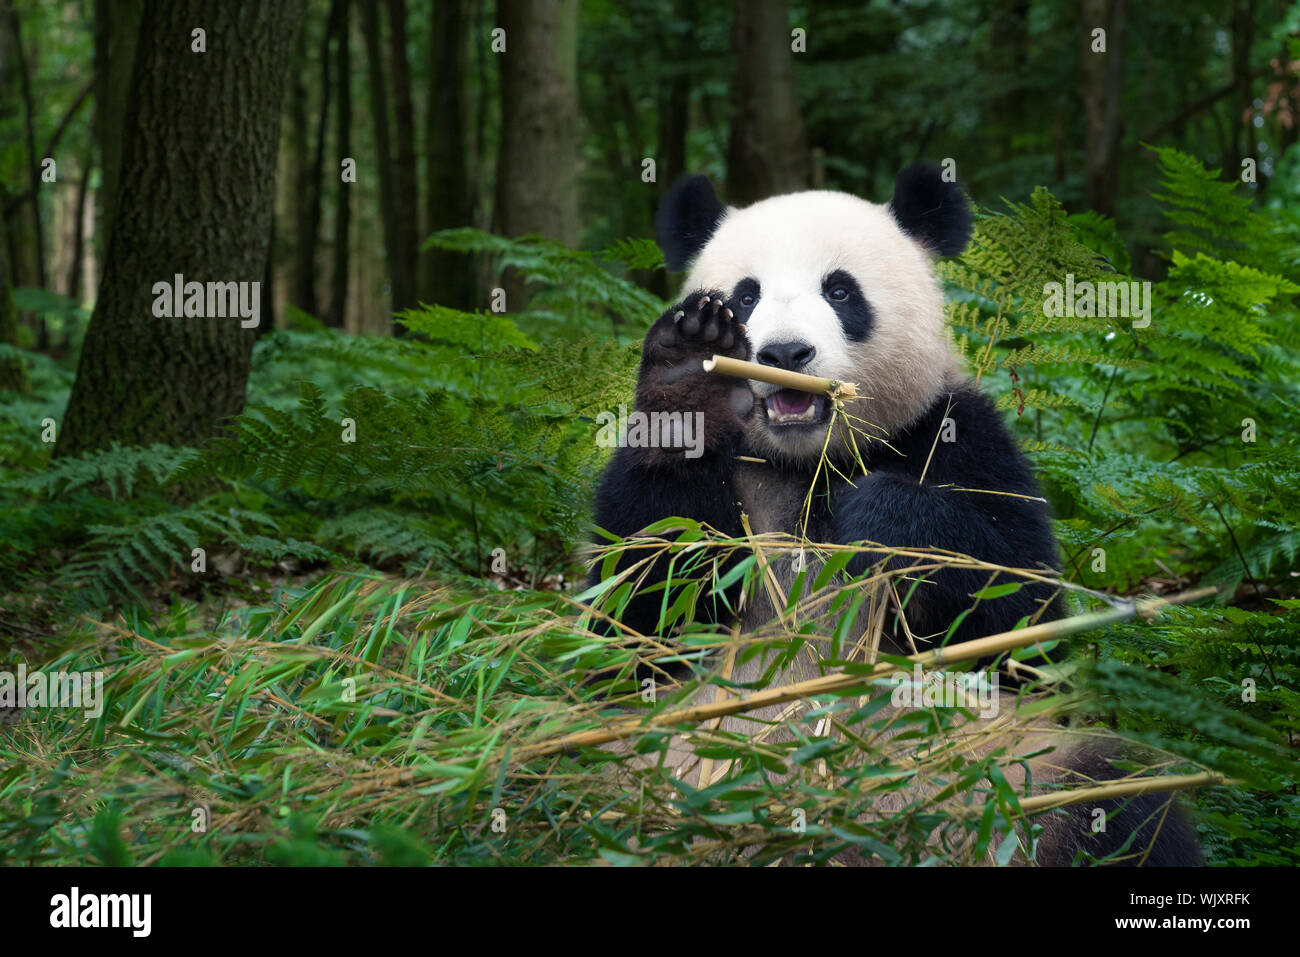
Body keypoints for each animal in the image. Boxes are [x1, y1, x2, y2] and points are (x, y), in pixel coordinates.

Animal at [590, 163, 1201, 866]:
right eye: (745, 297)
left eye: (840, 291)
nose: (785, 354)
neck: (807, 464)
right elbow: (639, 621)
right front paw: (688, 367)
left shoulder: (960, 436)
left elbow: (1023, 628)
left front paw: (878, 516)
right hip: (637, 768)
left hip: (1001, 777)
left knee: (1113, 800)